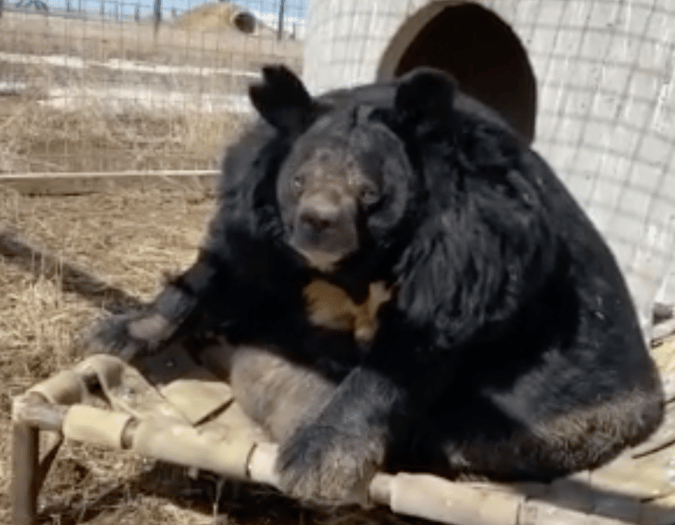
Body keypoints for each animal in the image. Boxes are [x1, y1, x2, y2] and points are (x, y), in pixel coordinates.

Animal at [88, 65, 664, 506]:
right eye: (297, 181)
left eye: (369, 192)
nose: (318, 223)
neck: (354, 266)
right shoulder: (259, 222)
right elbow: (223, 271)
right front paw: (113, 333)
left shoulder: (473, 248)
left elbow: (407, 355)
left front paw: (314, 466)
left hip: (567, 416)